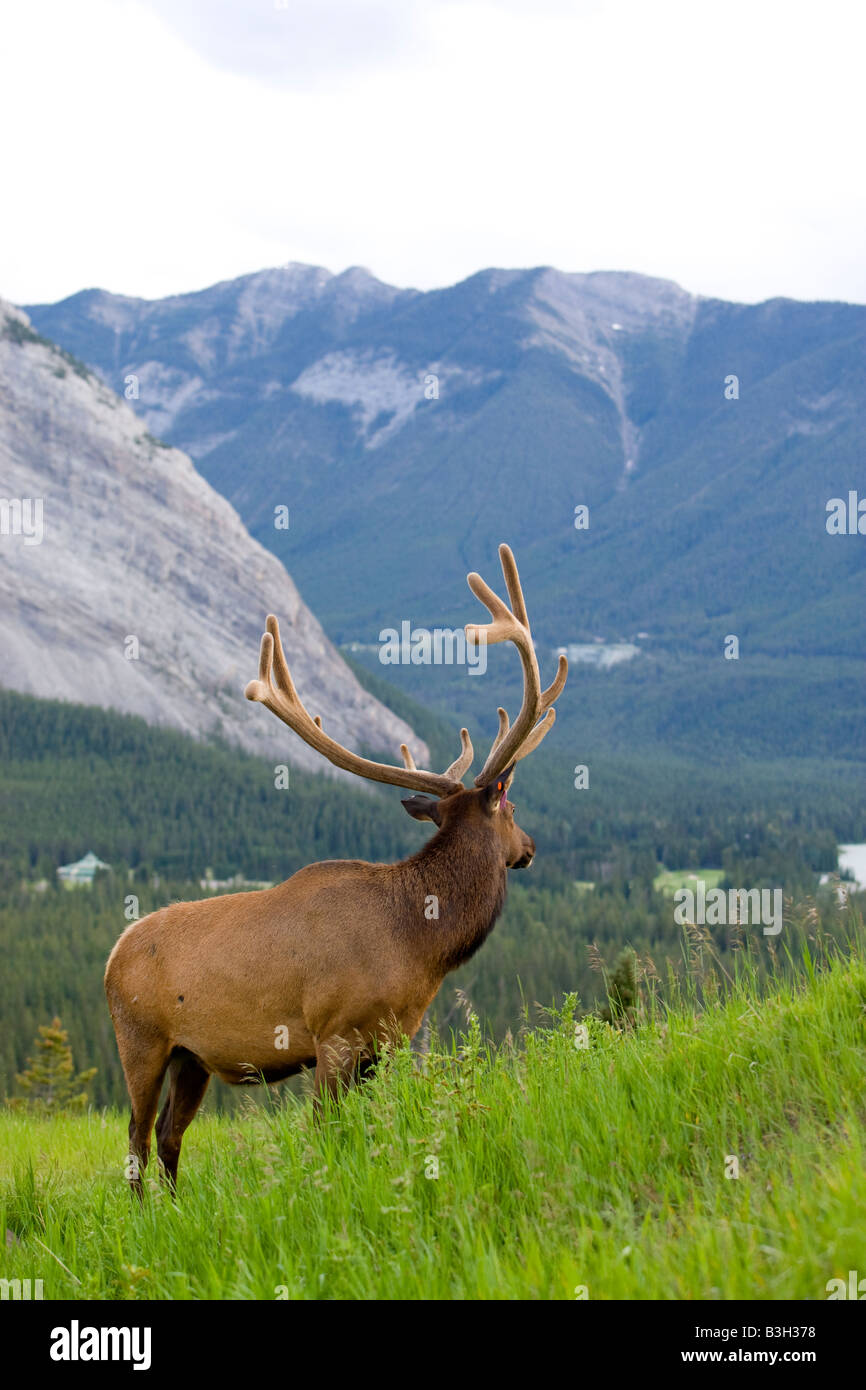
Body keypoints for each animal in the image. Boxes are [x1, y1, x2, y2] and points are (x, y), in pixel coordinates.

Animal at [104, 544, 567, 1194]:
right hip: (141, 1040)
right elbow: (325, 1131)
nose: (530, 847)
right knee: (137, 1138)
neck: (420, 945)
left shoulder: (388, 1044)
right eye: (513, 807)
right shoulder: (335, 1036)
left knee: (171, 1134)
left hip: (191, 1057)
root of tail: (111, 956)